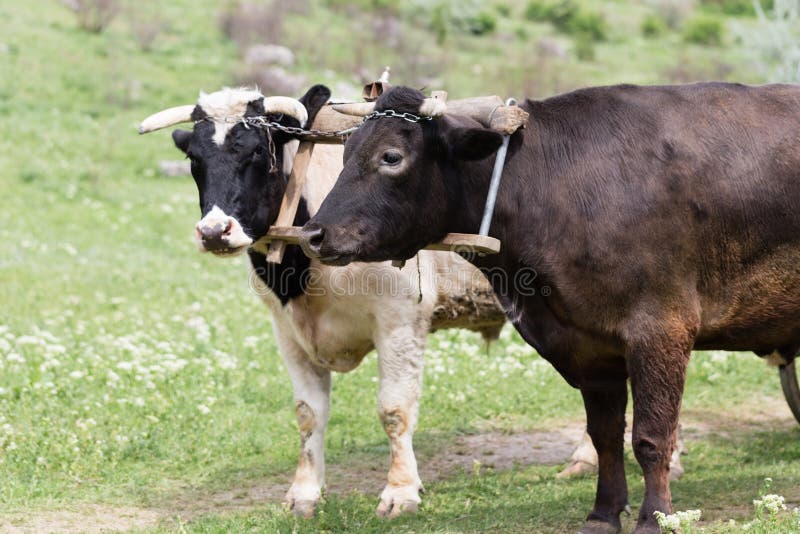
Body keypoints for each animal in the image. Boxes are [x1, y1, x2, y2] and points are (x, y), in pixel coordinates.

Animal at [138, 85, 506, 518]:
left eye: (257, 151)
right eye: (194, 158)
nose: (214, 232)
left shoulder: (400, 320)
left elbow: (394, 410)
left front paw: (400, 491)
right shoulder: (287, 332)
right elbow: (308, 413)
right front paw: (305, 492)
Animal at [299, 83, 800, 533]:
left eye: (391, 157)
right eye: (344, 155)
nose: (314, 234)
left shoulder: (661, 327)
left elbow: (651, 437)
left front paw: (654, 519)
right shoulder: (588, 343)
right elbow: (605, 437)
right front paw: (602, 515)